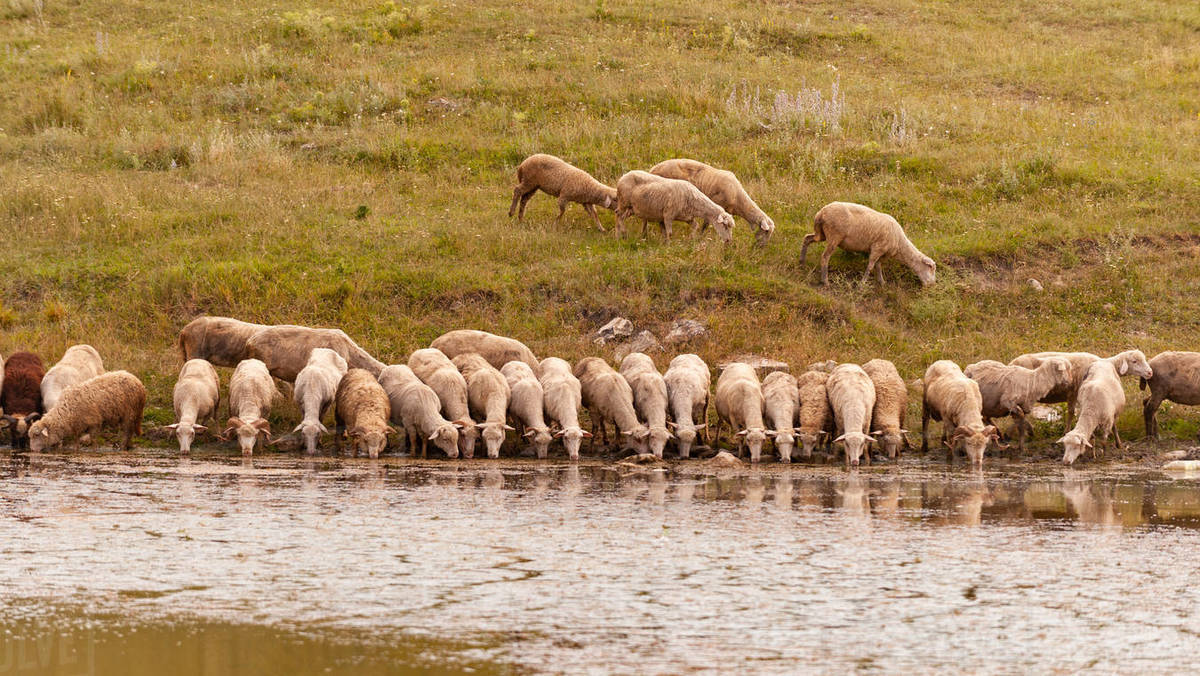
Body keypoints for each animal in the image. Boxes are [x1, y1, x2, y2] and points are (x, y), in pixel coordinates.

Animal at [799, 202, 936, 286]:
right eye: (930, 268)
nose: (932, 284)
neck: (900, 245)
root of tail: (821, 213)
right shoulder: (877, 248)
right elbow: (871, 266)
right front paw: (862, 284)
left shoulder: (882, 252)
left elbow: (878, 266)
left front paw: (881, 282)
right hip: (834, 236)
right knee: (825, 257)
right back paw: (825, 280)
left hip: (821, 233)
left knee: (807, 238)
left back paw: (802, 262)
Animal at [1009, 350, 1153, 429]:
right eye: (1134, 361)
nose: (1150, 372)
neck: (1105, 363)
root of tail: (1011, 363)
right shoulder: (1074, 393)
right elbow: (1071, 413)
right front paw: (1066, 431)